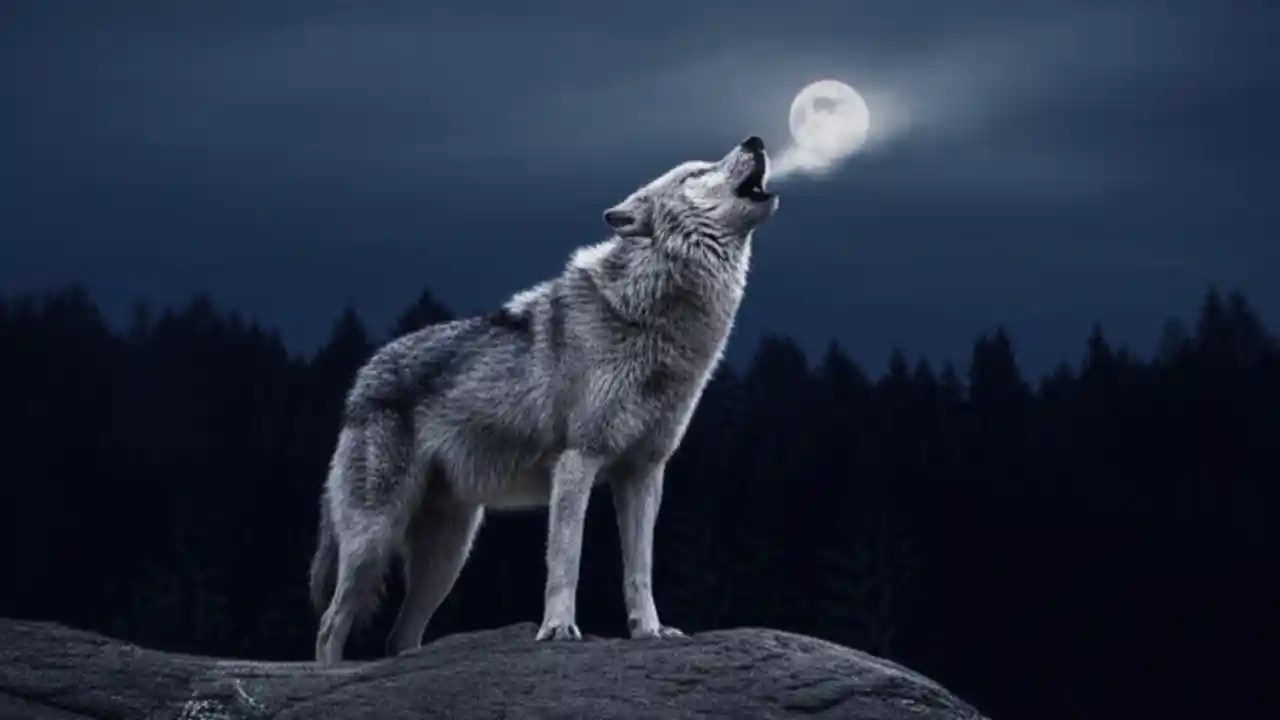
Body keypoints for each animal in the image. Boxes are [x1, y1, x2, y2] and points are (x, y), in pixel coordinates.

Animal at [309, 136, 779, 664]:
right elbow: (566, 558)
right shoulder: (578, 459)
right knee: (330, 624)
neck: (651, 312)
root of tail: (361, 379)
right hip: (376, 538)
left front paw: (651, 631)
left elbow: (640, 568)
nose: (755, 140)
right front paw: (557, 629)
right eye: (695, 173)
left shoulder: (643, 471)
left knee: (400, 638)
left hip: (448, 557)